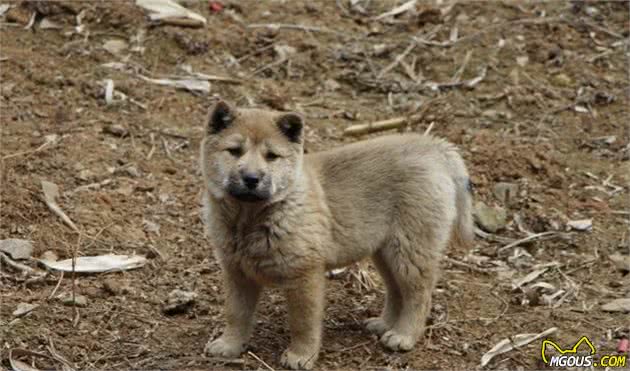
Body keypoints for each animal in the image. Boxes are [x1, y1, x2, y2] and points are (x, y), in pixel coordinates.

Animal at [202, 101, 474, 370]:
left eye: (272, 157)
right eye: (234, 151)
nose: (251, 178)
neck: (249, 219)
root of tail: (434, 147)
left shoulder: (304, 276)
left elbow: (303, 323)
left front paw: (301, 356)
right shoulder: (237, 273)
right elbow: (236, 314)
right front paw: (229, 345)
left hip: (410, 250)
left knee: (419, 295)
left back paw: (403, 335)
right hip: (385, 252)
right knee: (397, 290)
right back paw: (384, 324)